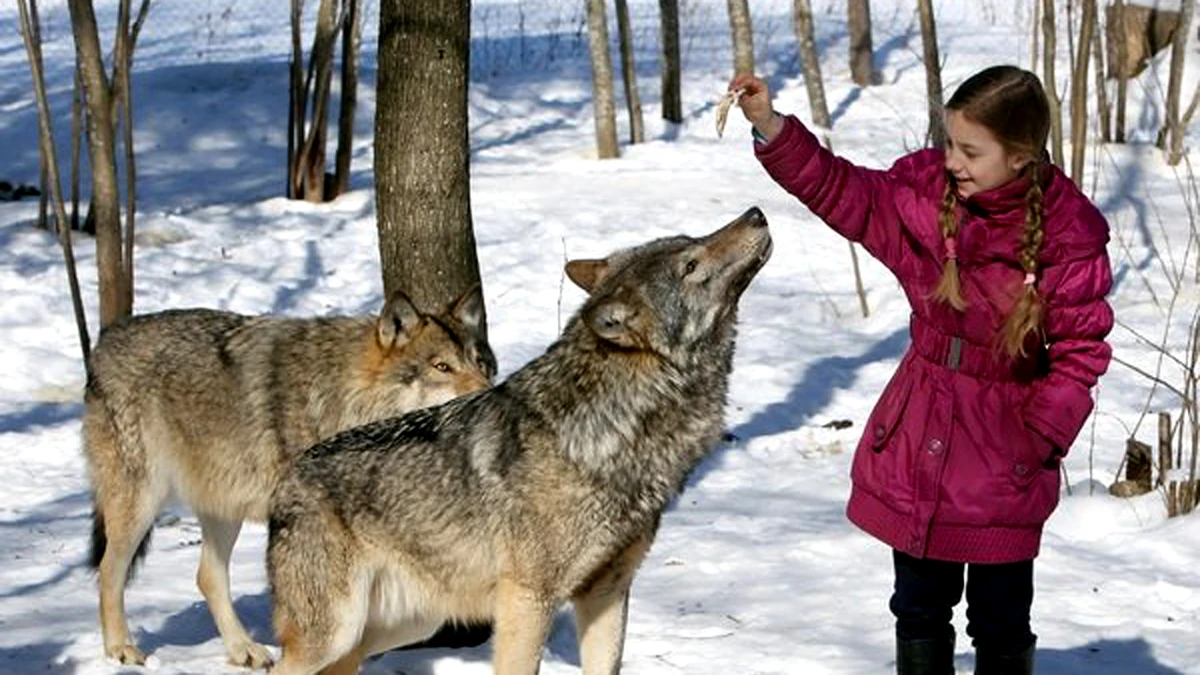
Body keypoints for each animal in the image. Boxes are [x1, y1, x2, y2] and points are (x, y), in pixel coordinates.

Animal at [83, 287, 495, 667]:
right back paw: (120, 648)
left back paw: (243, 650)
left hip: (223, 508)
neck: (345, 399)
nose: (488, 394)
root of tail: (105, 339)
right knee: (109, 570)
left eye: (481, 364)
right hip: (140, 502)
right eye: (442, 367)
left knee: (207, 576)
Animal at [265, 207, 771, 675]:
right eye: (691, 263)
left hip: (395, 628)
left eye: (691, 244)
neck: (614, 430)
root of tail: (288, 477)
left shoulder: (608, 593)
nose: (756, 214)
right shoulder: (528, 599)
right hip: (331, 636)